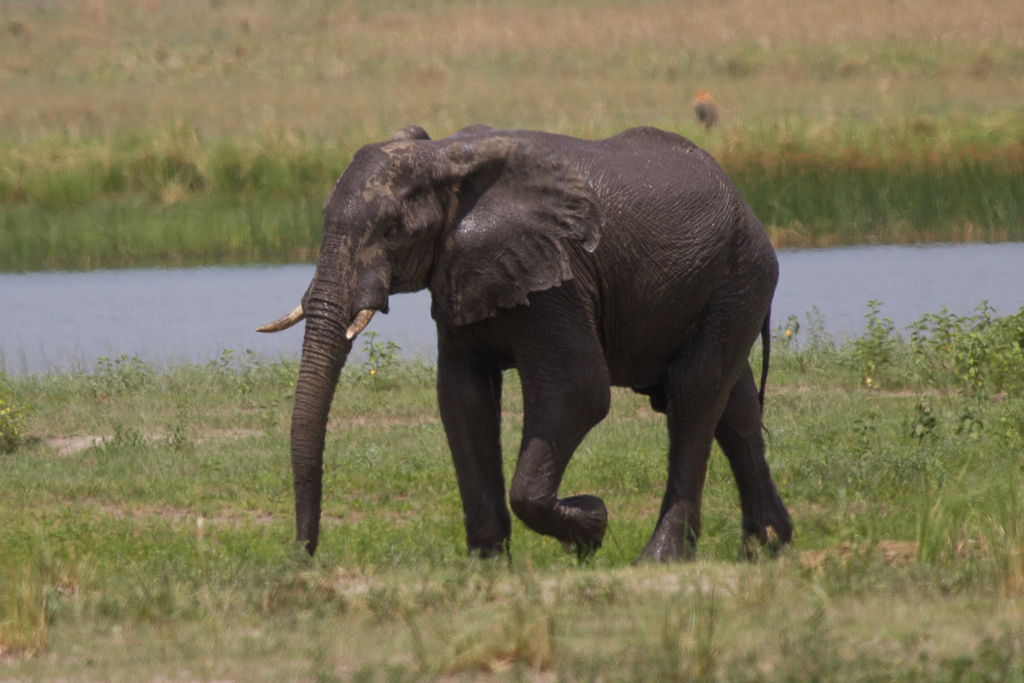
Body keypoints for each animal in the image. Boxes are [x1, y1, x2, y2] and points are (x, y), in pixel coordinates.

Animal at [258, 123, 793, 562]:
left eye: (392, 230)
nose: (303, 556)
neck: (445, 158)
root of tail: (744, 202)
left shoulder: (559, 279)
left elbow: (580, 392)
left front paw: (591, 526)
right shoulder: (458, 276)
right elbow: (463, 400)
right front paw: (488, 564)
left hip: (739, 275)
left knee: (693, 395)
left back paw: (661, 559)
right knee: (734, 405)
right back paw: (767, 547)